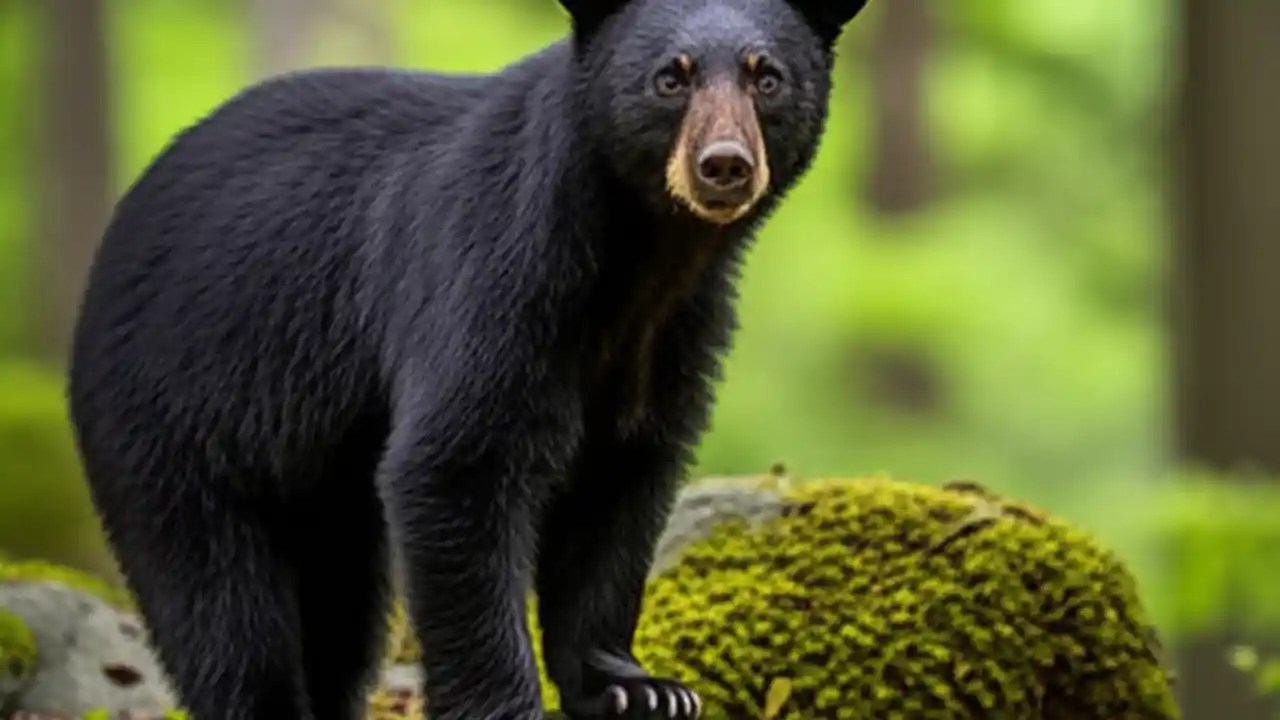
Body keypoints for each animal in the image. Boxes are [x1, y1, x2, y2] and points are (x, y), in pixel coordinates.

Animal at [65, 0, 871, 718]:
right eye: (670, 77)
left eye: (768, 77)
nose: (723, 165)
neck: (640, 256)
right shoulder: (491, 275)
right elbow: (458, 464)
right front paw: (504, 702)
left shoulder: (672, 334)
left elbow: (618, 490)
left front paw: (639, 688)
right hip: (180, 403)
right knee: (219, 602)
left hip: (316, 467)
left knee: (340, 603)